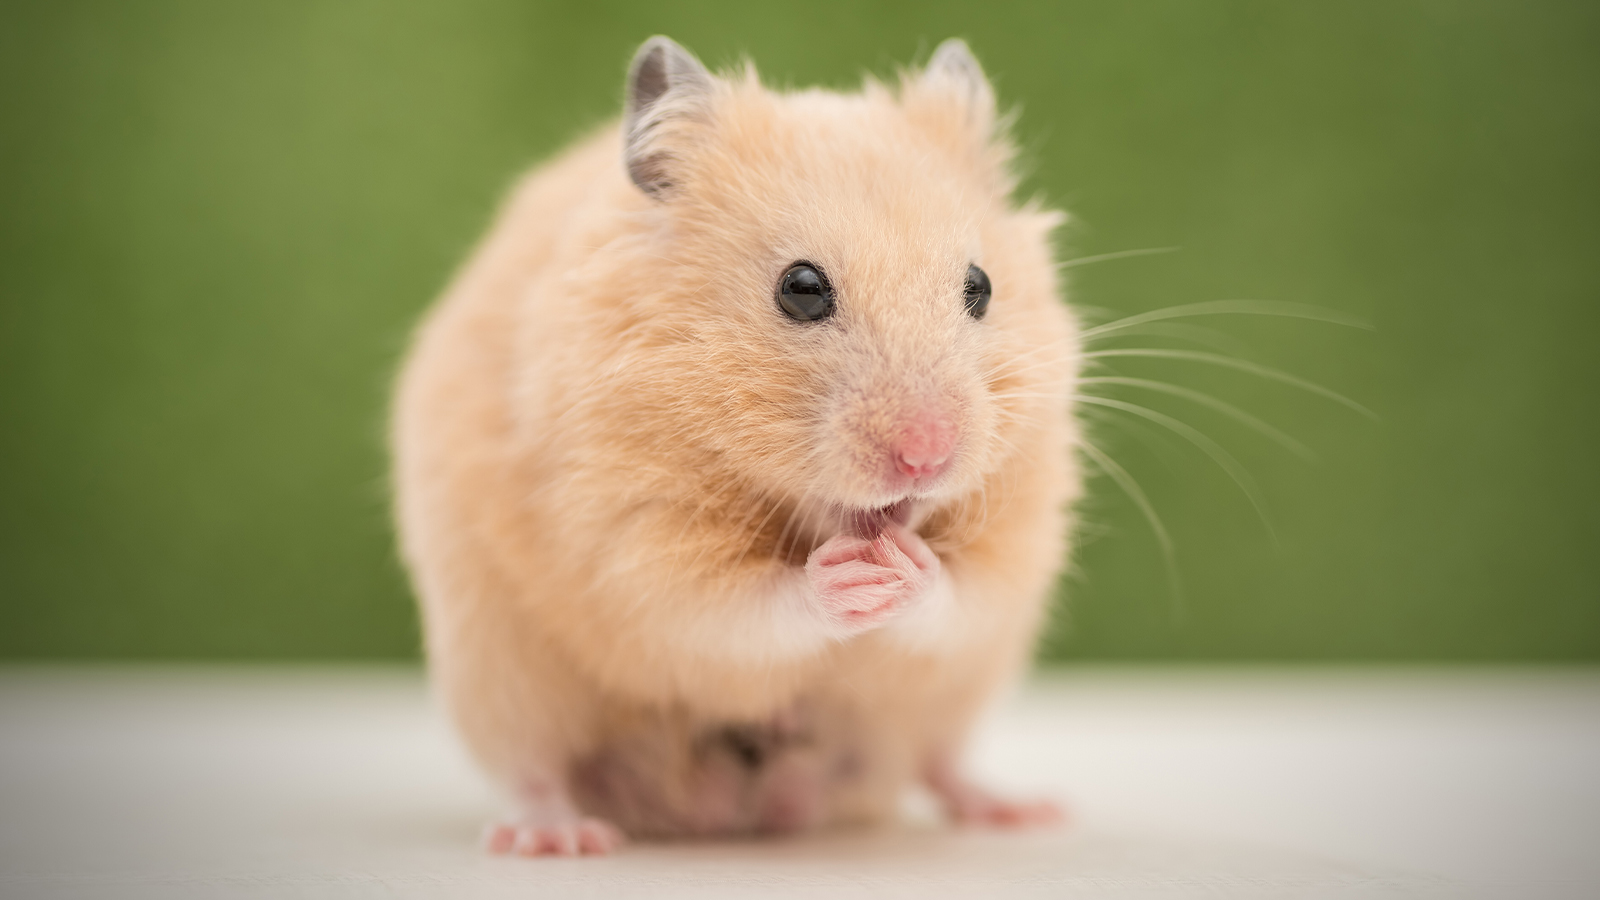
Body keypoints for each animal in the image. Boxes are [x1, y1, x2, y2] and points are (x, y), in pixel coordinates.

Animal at [391, 35, 1082, 856]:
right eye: (801, 288)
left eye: (980, 286)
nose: (927, 457)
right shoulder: (630, 540)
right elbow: (732, 609)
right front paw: (847, 577)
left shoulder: (1019, 539)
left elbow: (962, 595)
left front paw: (905, 569)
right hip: (496, 669)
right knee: (532, 768)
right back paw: (559, 837)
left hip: (952, 699)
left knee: (937, 761)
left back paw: (1021, 809)